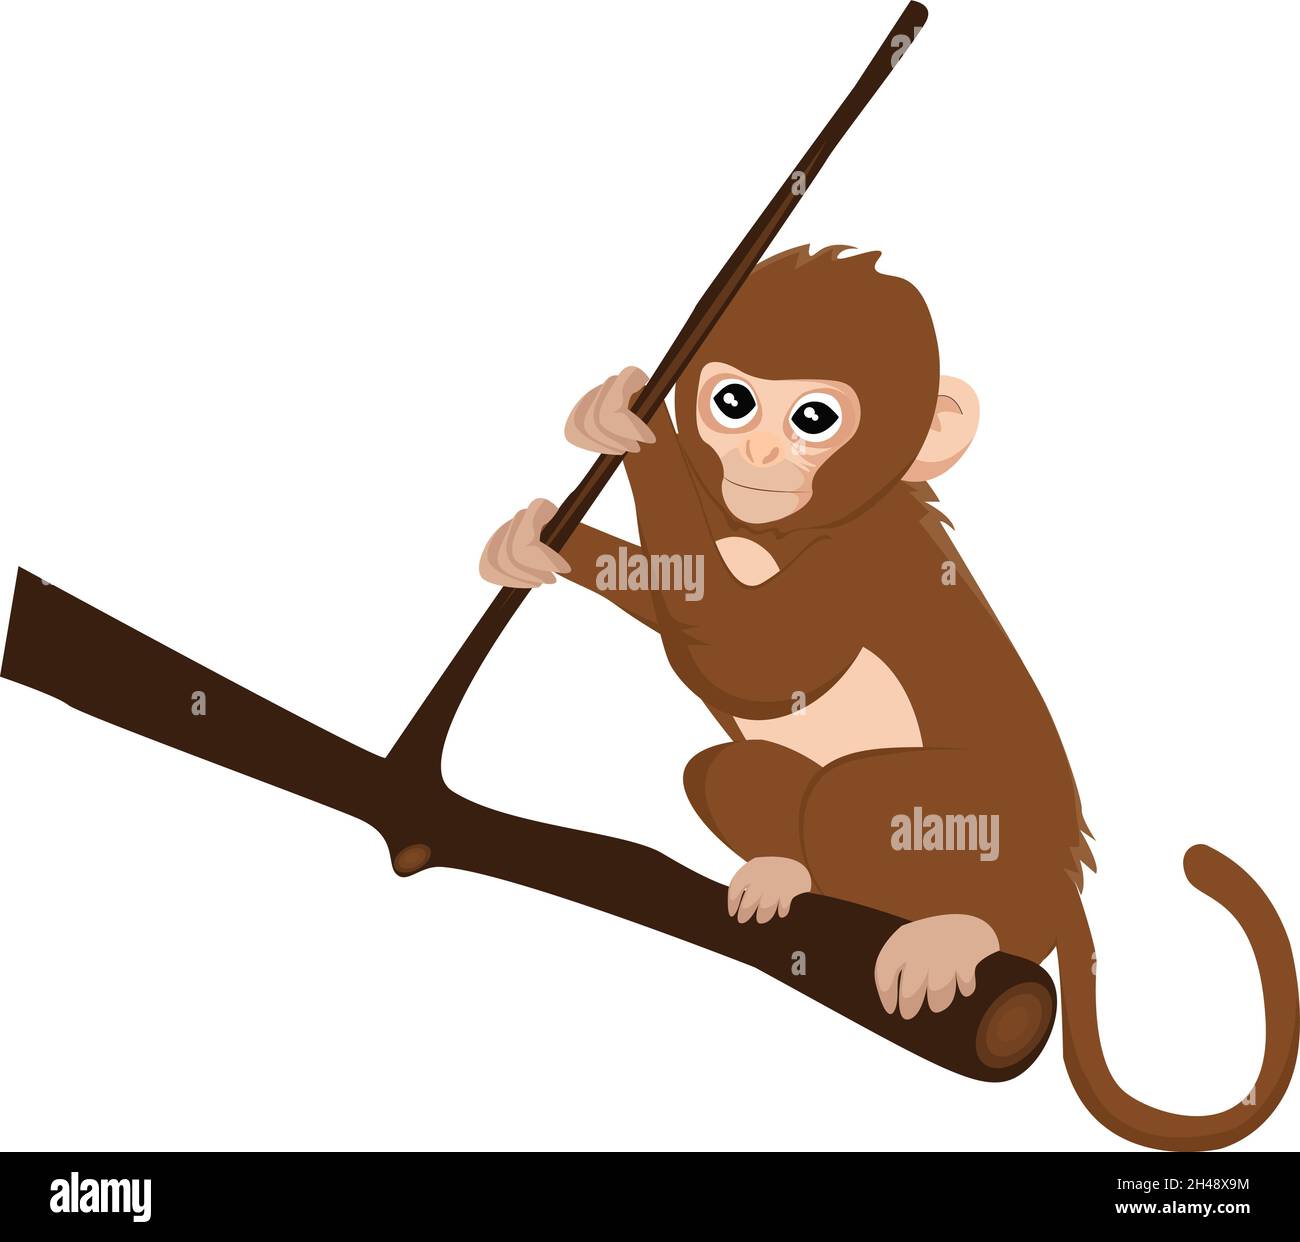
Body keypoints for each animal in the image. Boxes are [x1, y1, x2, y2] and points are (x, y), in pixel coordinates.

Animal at [480, 245, 1297, 1150]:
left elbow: (758, 654)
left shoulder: (868, 558)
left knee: (857, 796)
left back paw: (960, 932)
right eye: (733, 401)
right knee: (722, 772)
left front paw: (636, 433)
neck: (778, 534)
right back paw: (788, 872)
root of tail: (1061, 881)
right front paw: (535, 541)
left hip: (994, 829)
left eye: (813, 418)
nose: (755, 454)